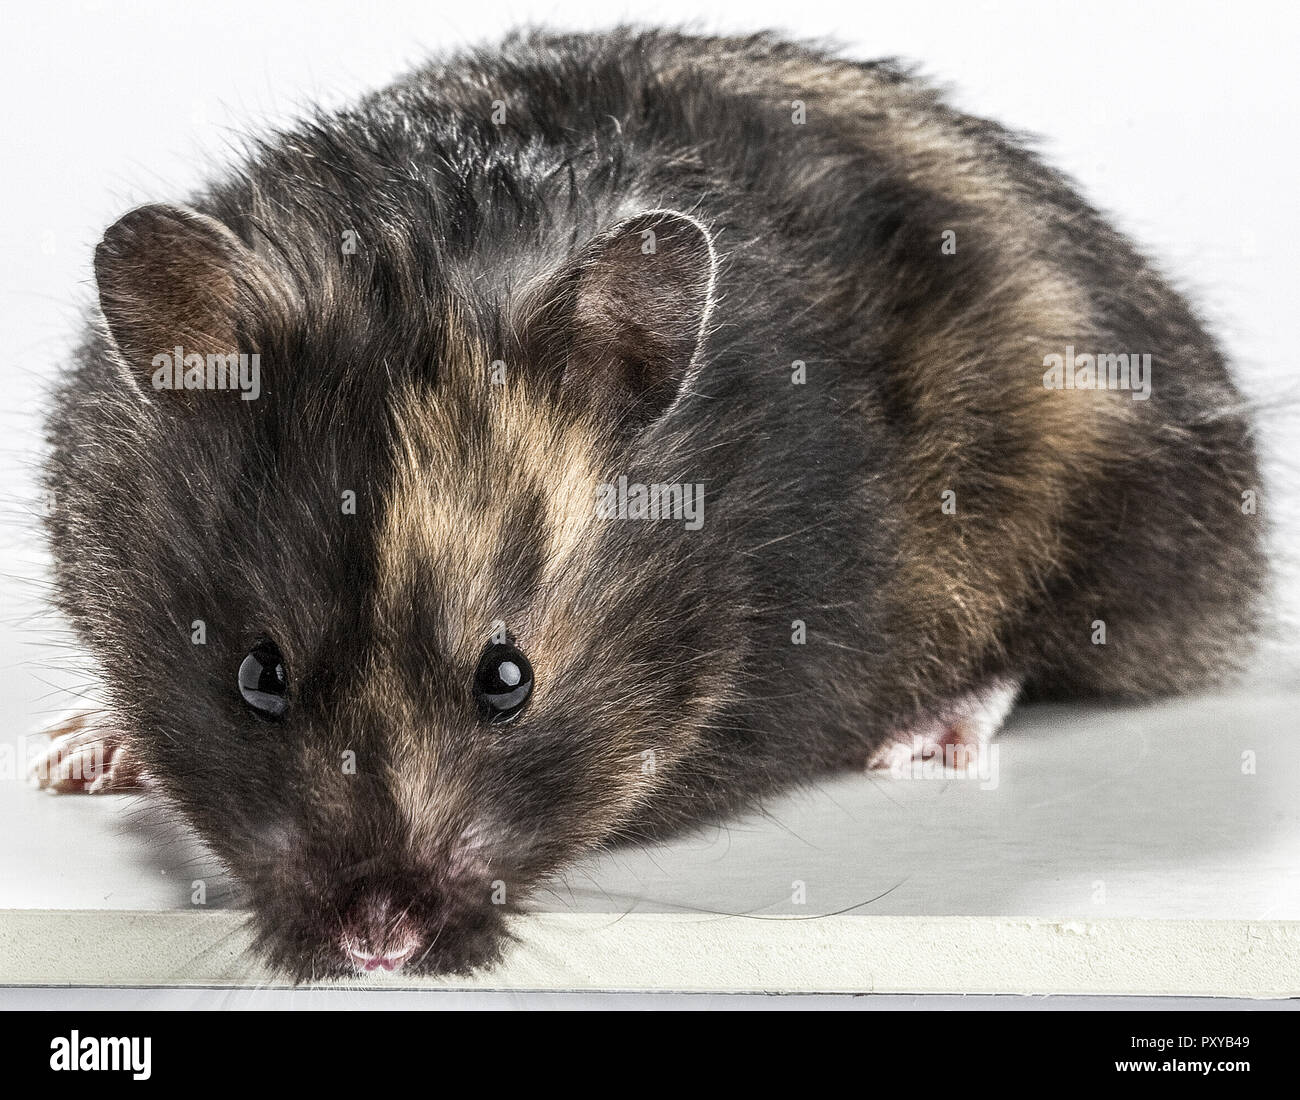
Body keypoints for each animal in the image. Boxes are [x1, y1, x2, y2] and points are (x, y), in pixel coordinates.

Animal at [34, 28, 1266, 979]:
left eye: (508, 679)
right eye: (257, 676)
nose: (377, 949)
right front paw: (79, 754)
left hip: (1104, 492)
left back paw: (926, 737)